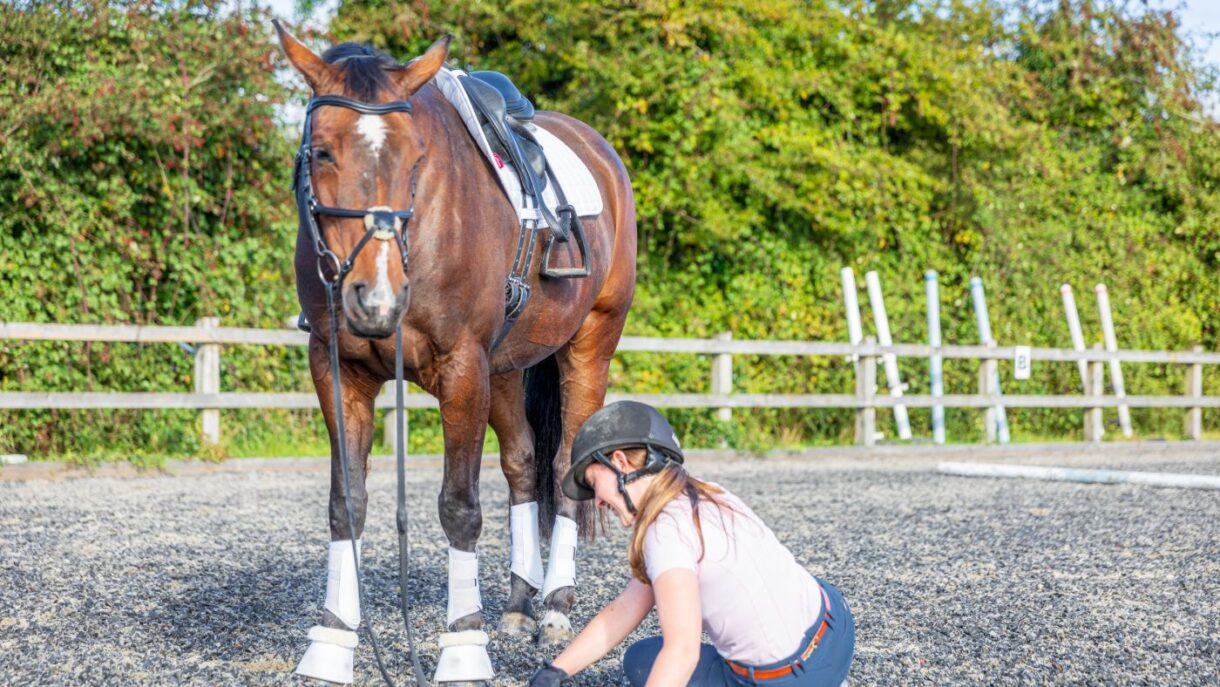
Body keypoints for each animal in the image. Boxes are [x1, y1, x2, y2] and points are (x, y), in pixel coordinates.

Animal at [274, 22, 636, 686]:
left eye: (416, 157)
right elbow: (346, 503)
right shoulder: (337, 369)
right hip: (506, 368)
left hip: (589, 346)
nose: (375, 294)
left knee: (563, 468)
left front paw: (464, 646)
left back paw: (555, 607)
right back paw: (520, 605)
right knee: (522, 463)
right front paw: (331, 643)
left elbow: (459, 508)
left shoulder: (463, 369)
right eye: (322, 152)